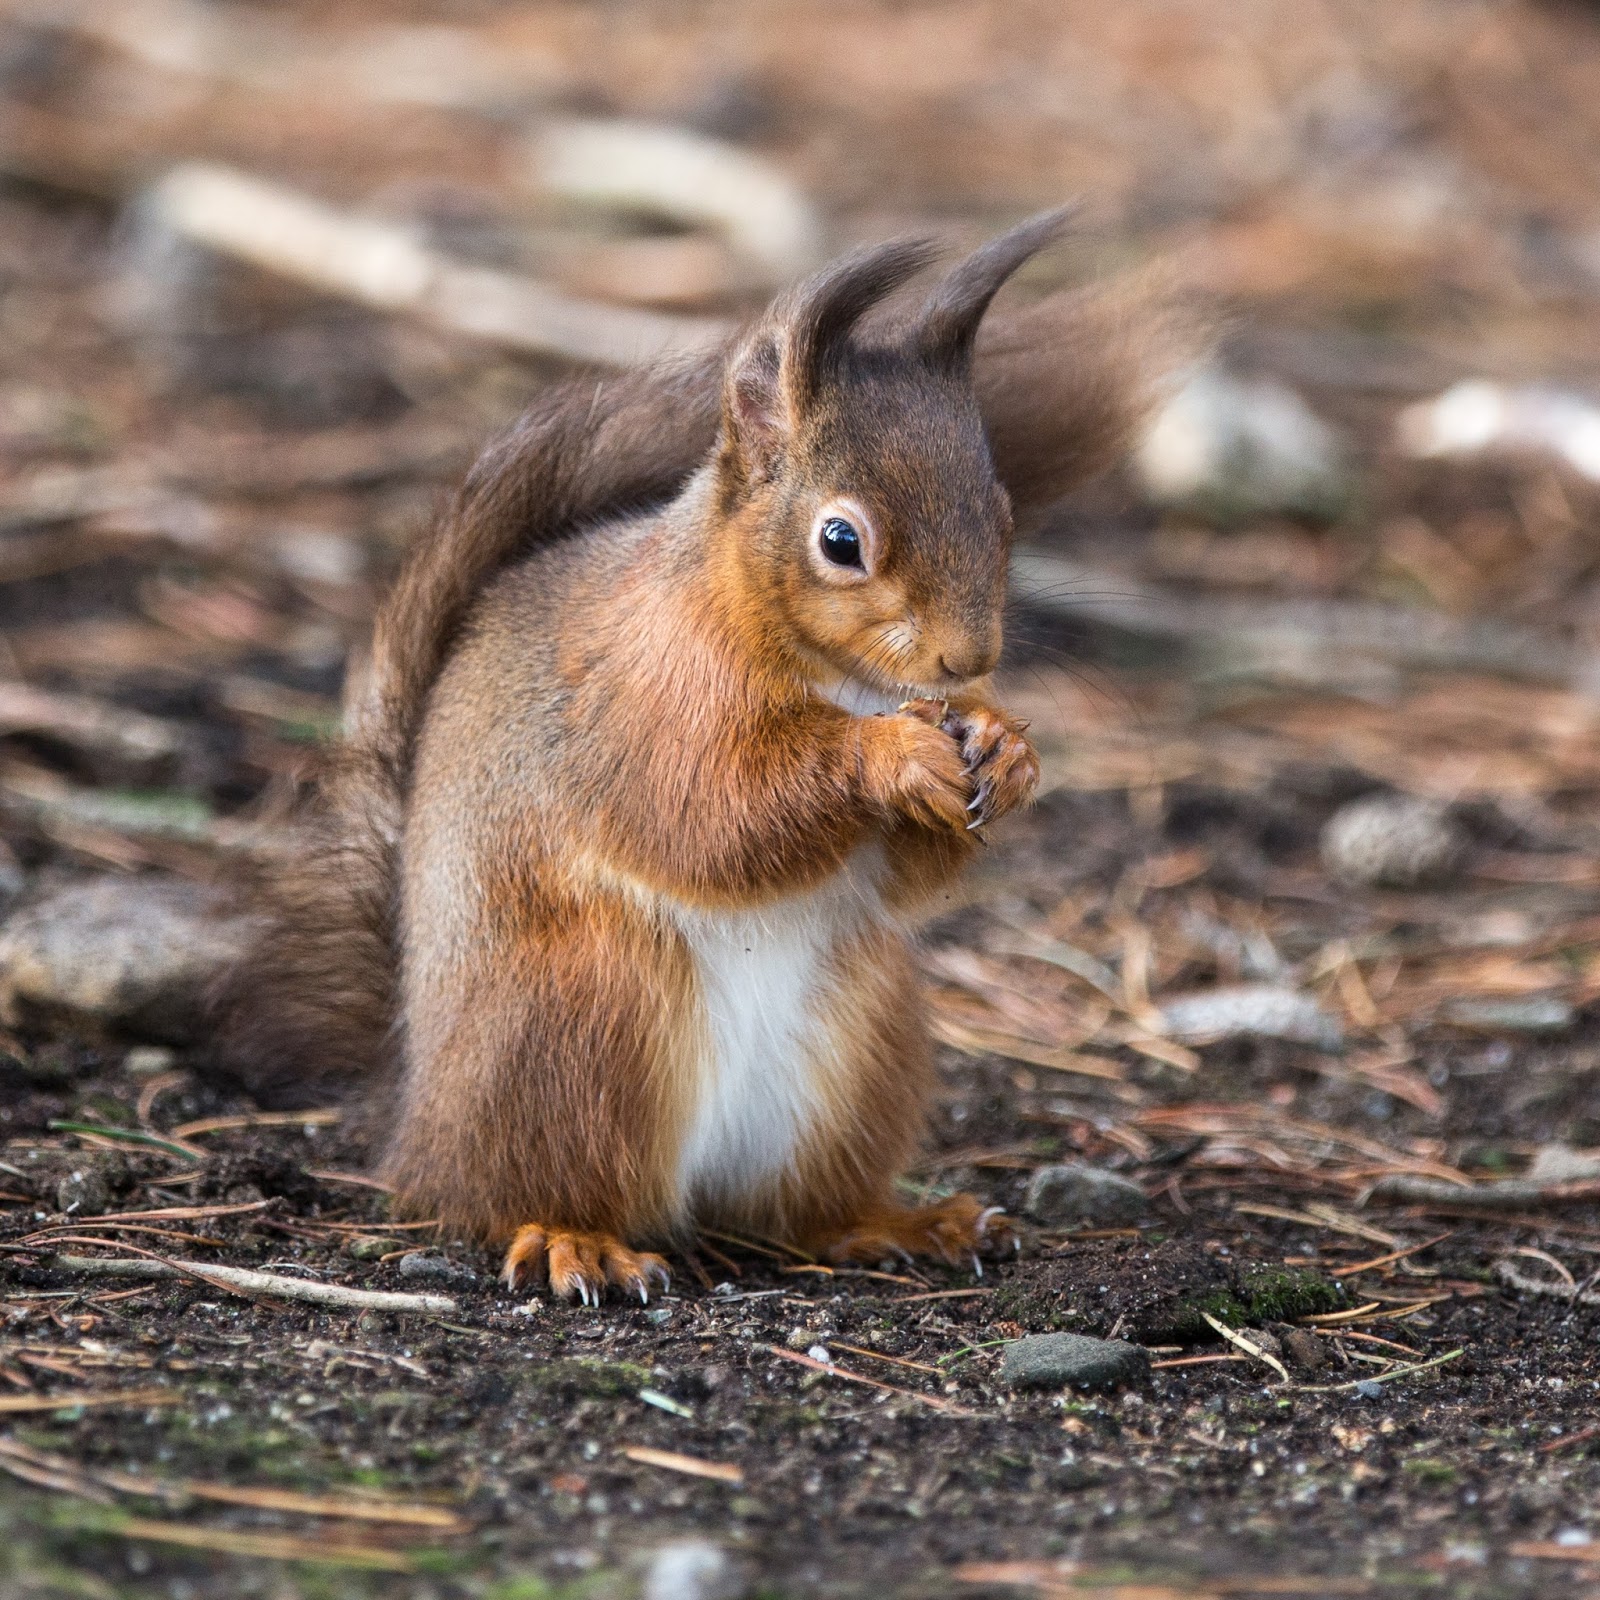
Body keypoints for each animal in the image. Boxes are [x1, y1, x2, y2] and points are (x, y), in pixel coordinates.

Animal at [213, 208, 1188, 1302]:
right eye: (840, 540)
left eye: (1006, 515)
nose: (967, 658)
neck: (827, 673)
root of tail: (418, 1111)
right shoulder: (641, 709)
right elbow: (706, 816)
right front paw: (889, 754)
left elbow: (904, 878)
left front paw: (1005, 747)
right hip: (577, 1024)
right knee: (518, 1192)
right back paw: (575, 1240)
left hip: (860, 1046)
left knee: (791, 1214)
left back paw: (903, 1221)